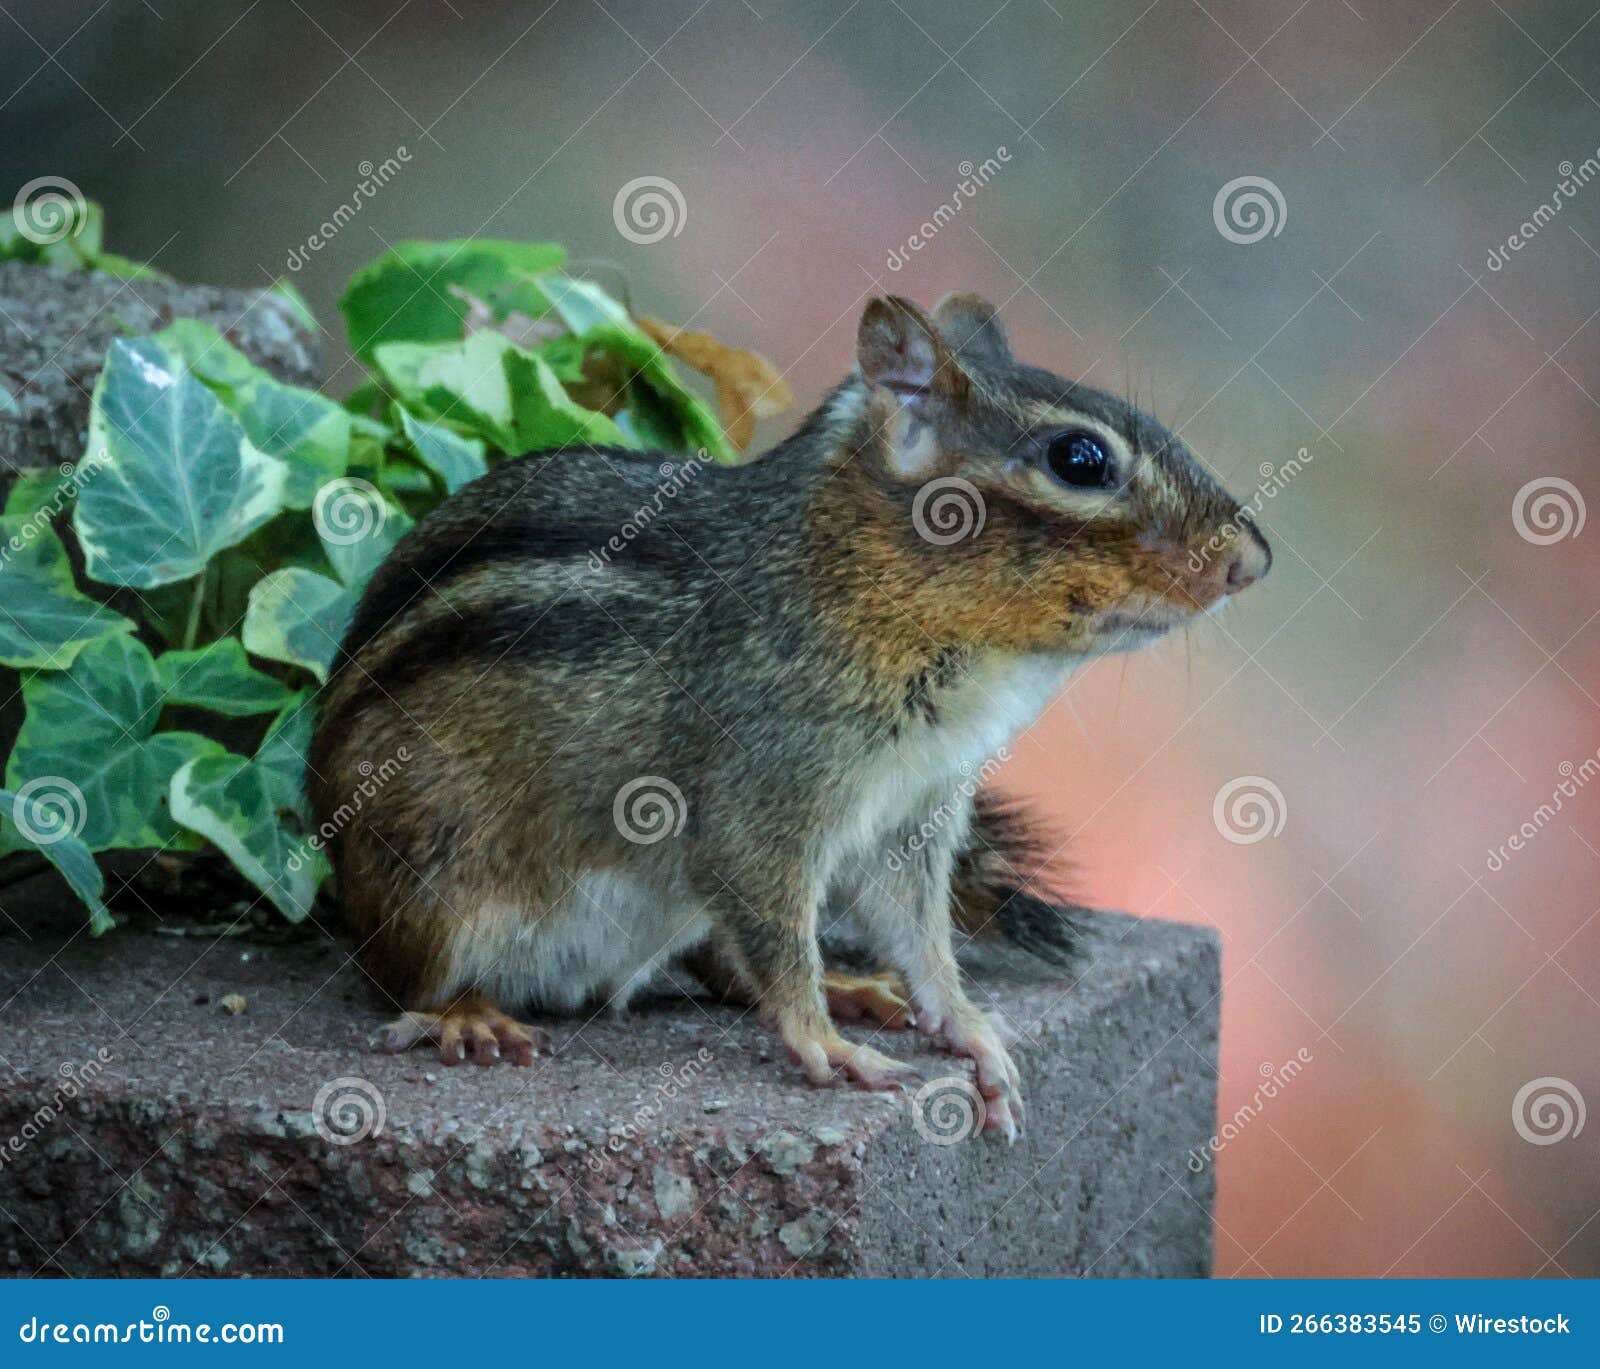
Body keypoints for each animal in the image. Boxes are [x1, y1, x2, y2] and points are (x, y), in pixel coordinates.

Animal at [306, 293, 1270, 1139]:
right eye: (1080, 460)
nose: (1252, 562)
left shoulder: (913, 815)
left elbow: (919, 935)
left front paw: (965, 1026)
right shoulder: (760, 797)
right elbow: (777, 930)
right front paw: (823, 1043)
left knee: (718, 961)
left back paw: (852, 987)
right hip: (437, 877)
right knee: (406, 979)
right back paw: (467, 1014)